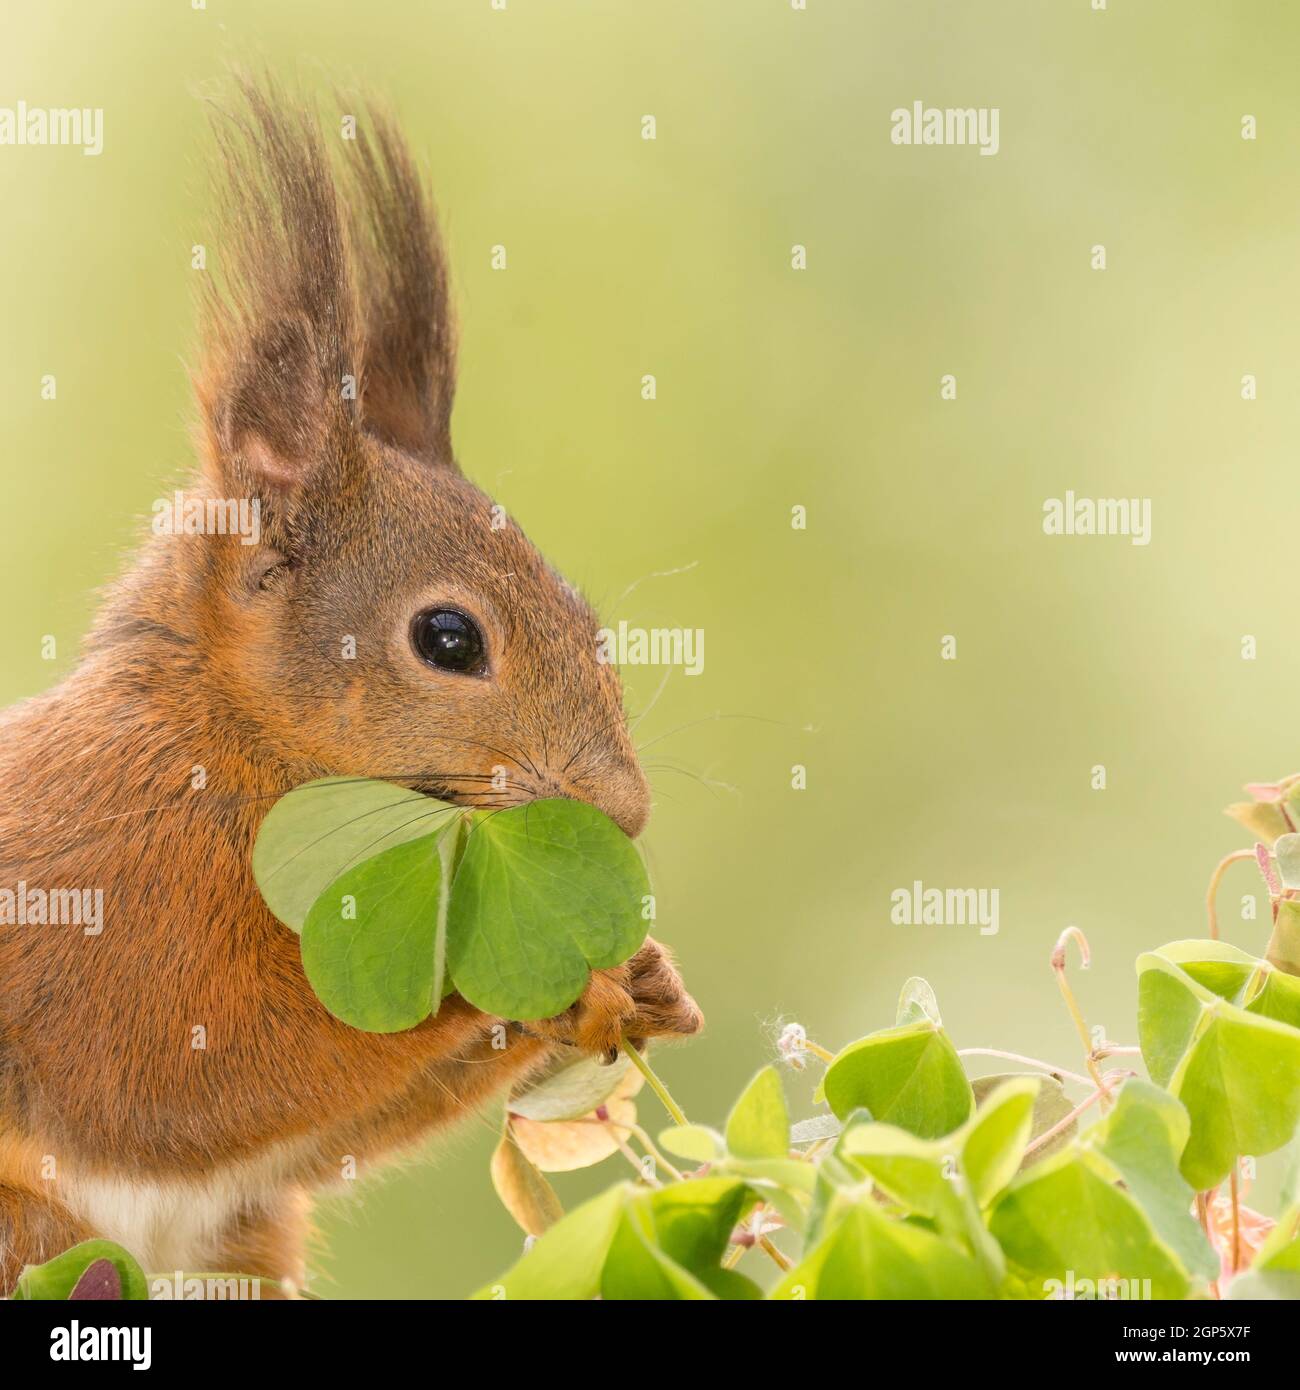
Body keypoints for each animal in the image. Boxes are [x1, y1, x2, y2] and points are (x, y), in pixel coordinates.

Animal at [0, 80, 702, 1294]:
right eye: (449, 638)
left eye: (587, 616)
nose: (624, 810)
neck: (225, 745)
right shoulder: (102, 908)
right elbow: (182, 1082)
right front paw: (536, 985)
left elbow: (325, 1134)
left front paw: (645, 980)